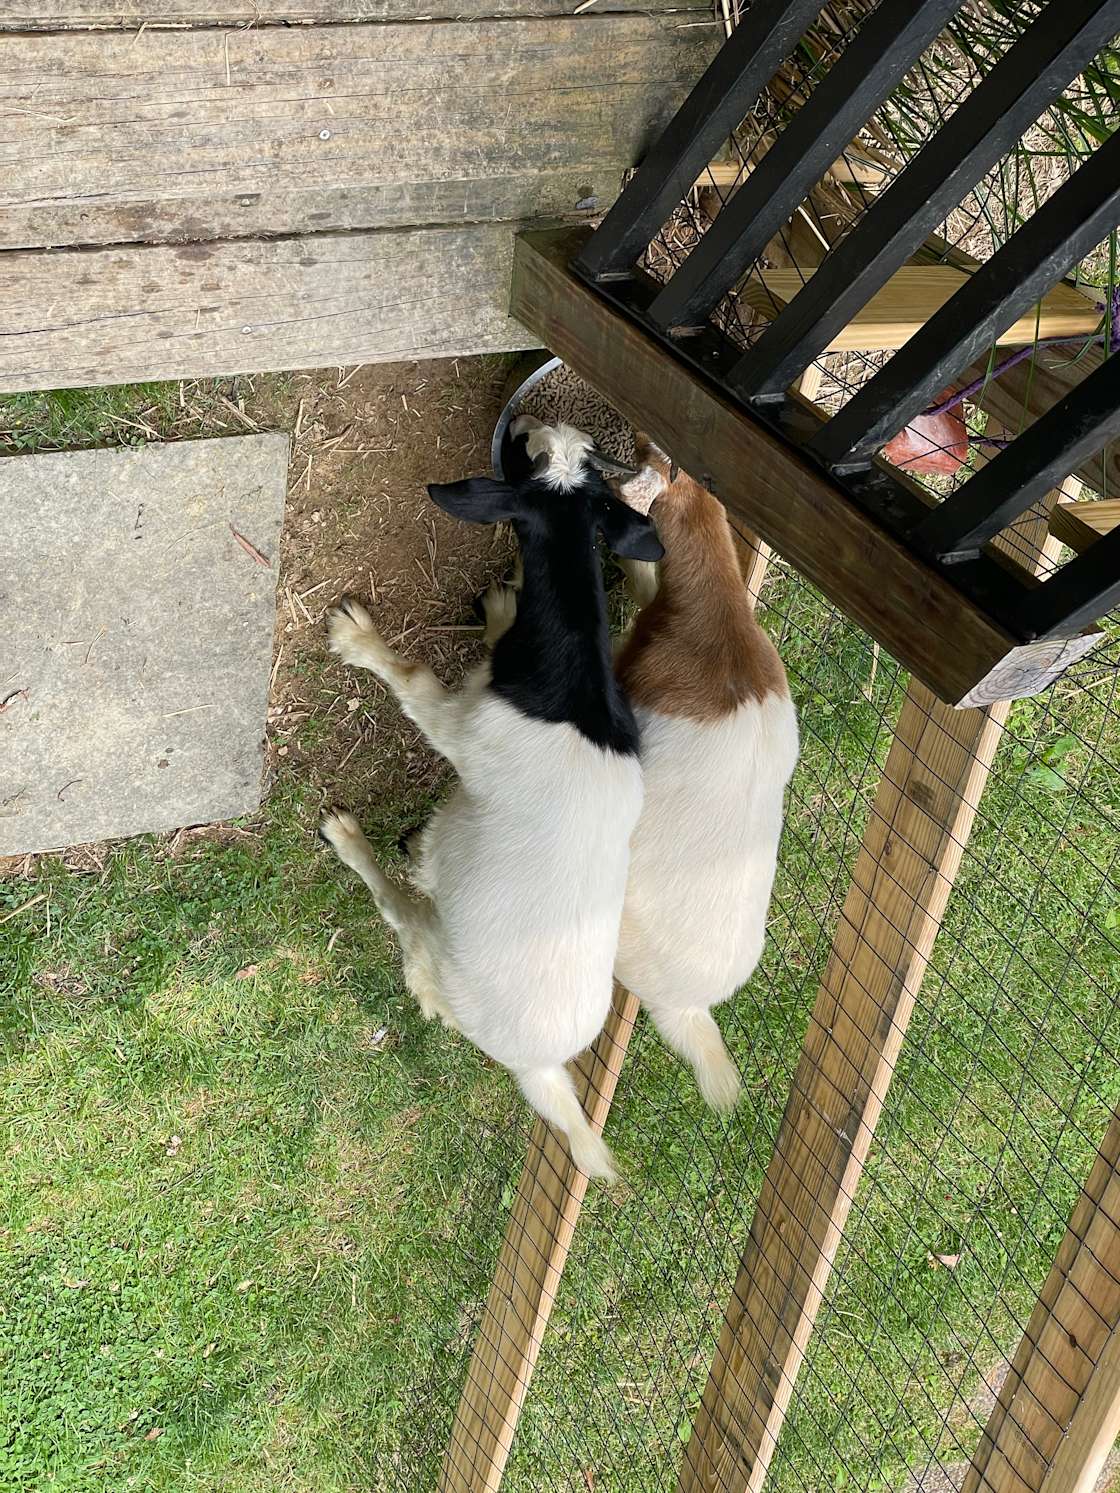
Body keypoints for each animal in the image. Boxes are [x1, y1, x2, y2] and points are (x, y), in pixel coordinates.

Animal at [320, 421, 663, 1180]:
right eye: (568, 455)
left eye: (525, 462)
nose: (528, 426)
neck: (572, 685)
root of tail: (539, 1068)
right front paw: (502, 609)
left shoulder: (459, 728)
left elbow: (410, 679)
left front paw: (356, 638)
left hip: (438, 949)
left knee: (402, 915)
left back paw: (354, 840)